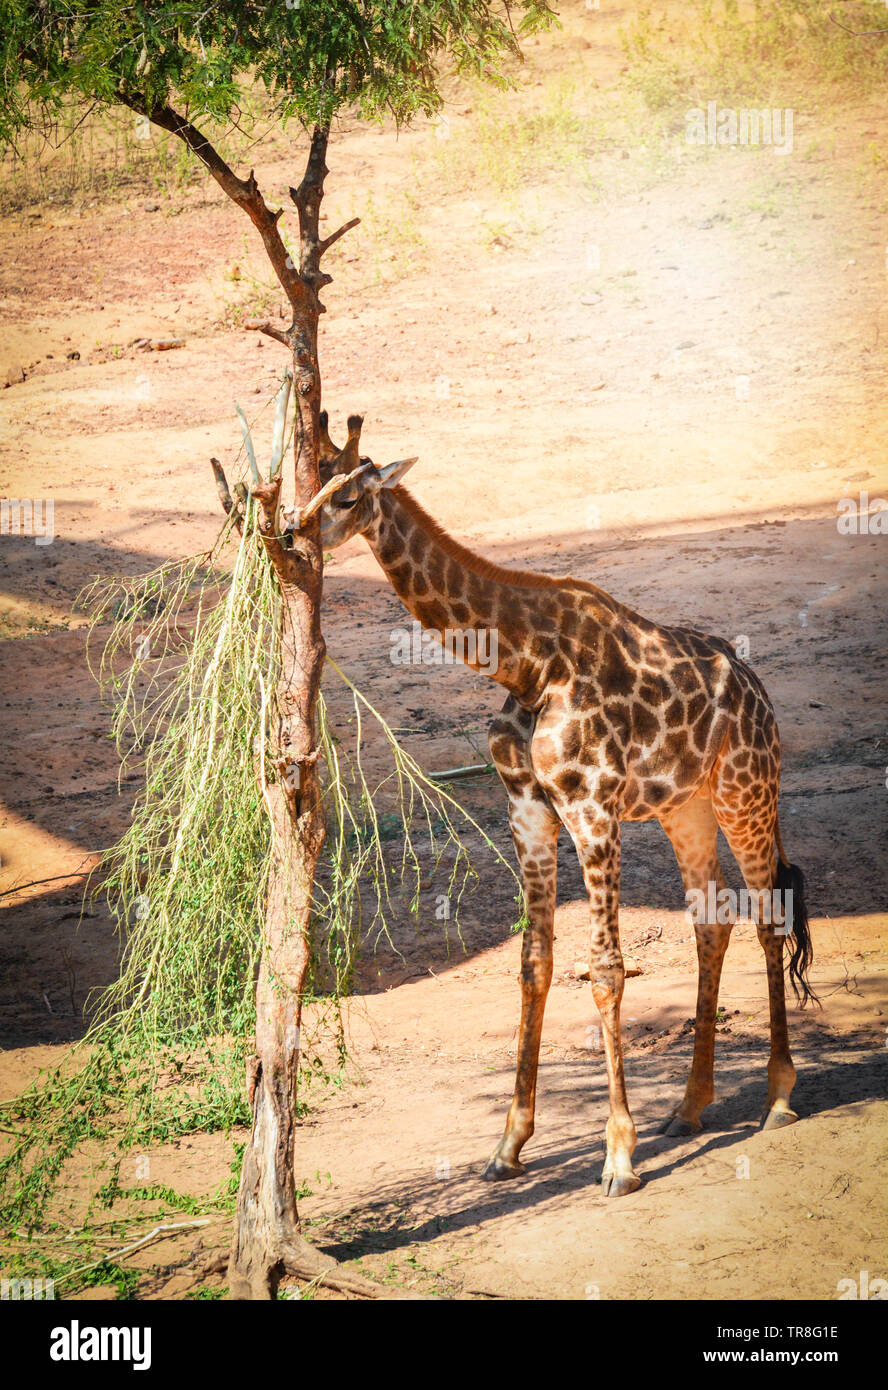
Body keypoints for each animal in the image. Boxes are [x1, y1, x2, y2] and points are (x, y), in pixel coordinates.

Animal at [305, 413, 817, 1196]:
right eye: (311, 484)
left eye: (348, 496)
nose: (290, 532)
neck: (524, 663)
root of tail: (760, 692)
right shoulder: (529, 810)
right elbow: (534, 961)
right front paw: (508, 1144)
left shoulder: (593, 811)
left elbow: (605, 969)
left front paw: (618, 1159)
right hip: (687, 808)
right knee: (712, 919)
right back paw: (688, 1108)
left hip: (746, 792)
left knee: (767, 914)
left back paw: (779, 1098)